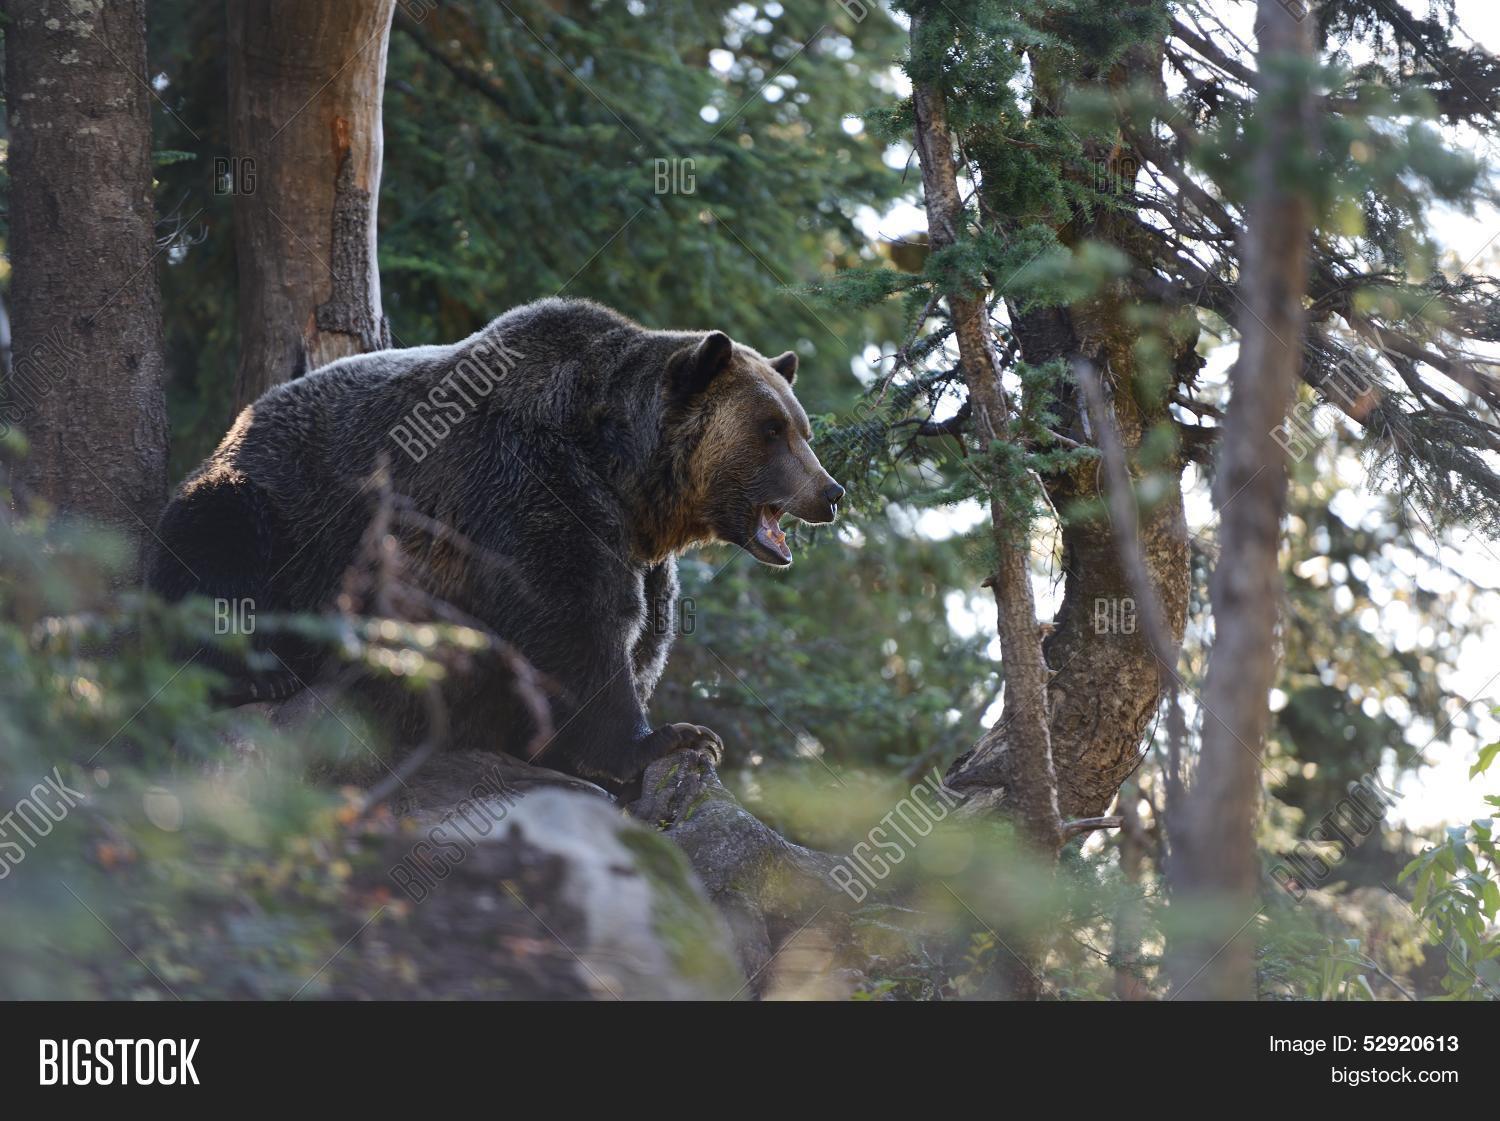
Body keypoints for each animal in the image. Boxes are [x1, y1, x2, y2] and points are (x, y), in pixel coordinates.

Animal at [148, 298, 844, 788]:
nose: (831, 491)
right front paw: (669, 737)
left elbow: (647, 630)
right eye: (772, 429)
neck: (626, 476)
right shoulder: (528, 482)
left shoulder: (638, 550)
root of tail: (243, 418)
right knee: (217, 554)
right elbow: (573, 620)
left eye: (801, 429)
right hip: (277, 508)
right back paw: (250, 673)